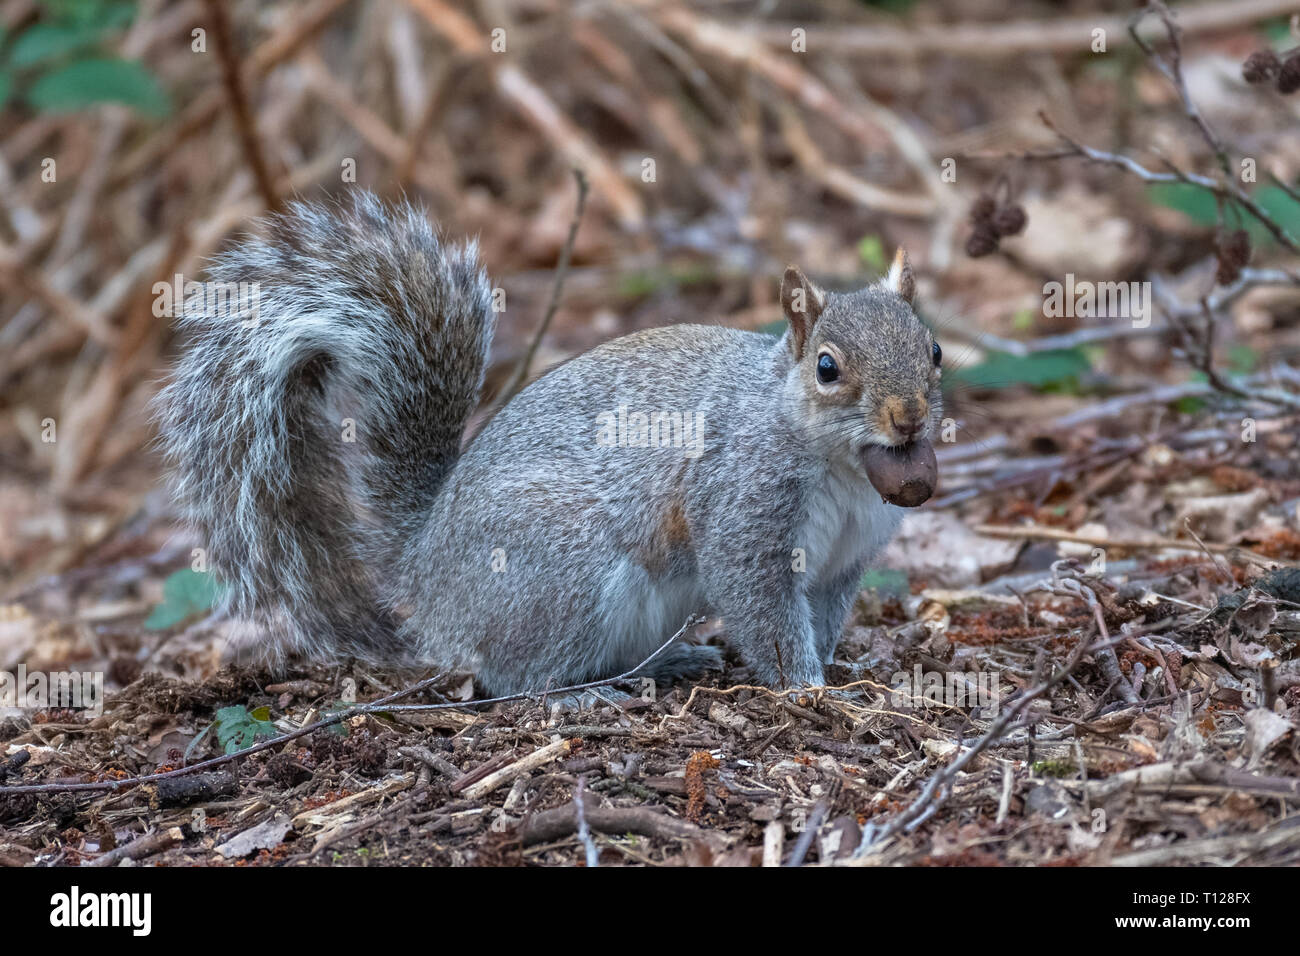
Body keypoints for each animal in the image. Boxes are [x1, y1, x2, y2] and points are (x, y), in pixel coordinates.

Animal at [156, 192, 942, 696]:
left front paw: (837, 668)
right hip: (562, 573)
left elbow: (825, 614)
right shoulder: (743, 507)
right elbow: (763, 605)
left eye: (933, 350)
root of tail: (423, 569)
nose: (908, 417)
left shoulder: (845, 560)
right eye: (828, 368)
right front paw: (806, 686)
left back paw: (666, 665)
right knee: (511, 678)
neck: (845, 468)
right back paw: (580, 693)